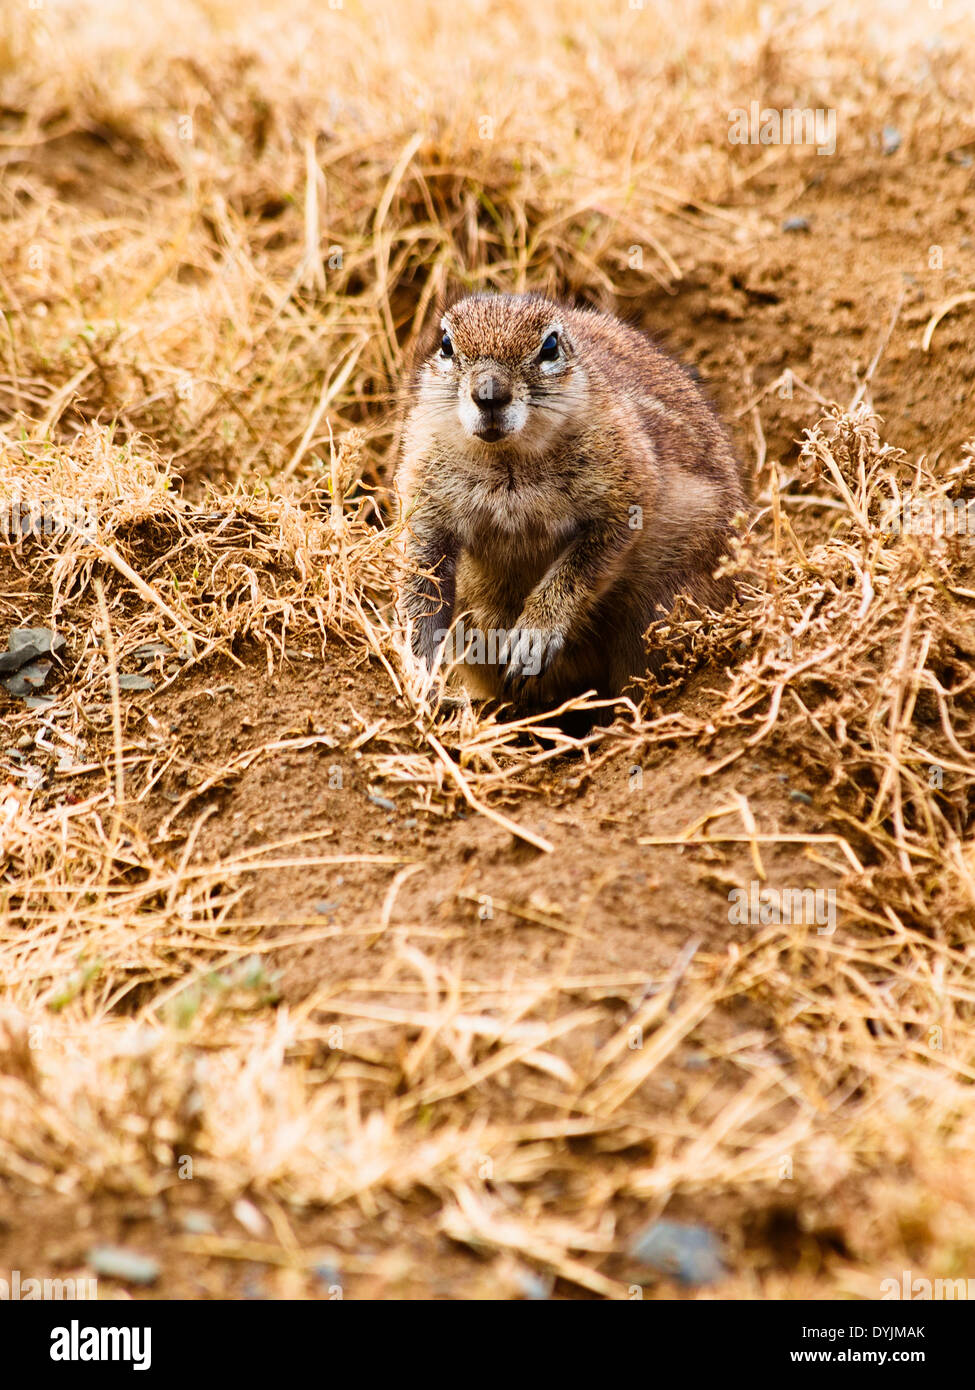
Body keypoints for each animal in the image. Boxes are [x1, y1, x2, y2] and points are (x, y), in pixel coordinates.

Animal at [395, 292, 744, 708]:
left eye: (549, 347)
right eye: (446, 344)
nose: (489, 393)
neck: (506, 462)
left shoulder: (625, 494)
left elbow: (579, 568)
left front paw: (533, 637)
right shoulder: (424, 504)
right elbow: (421, 589)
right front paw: (419, 680)